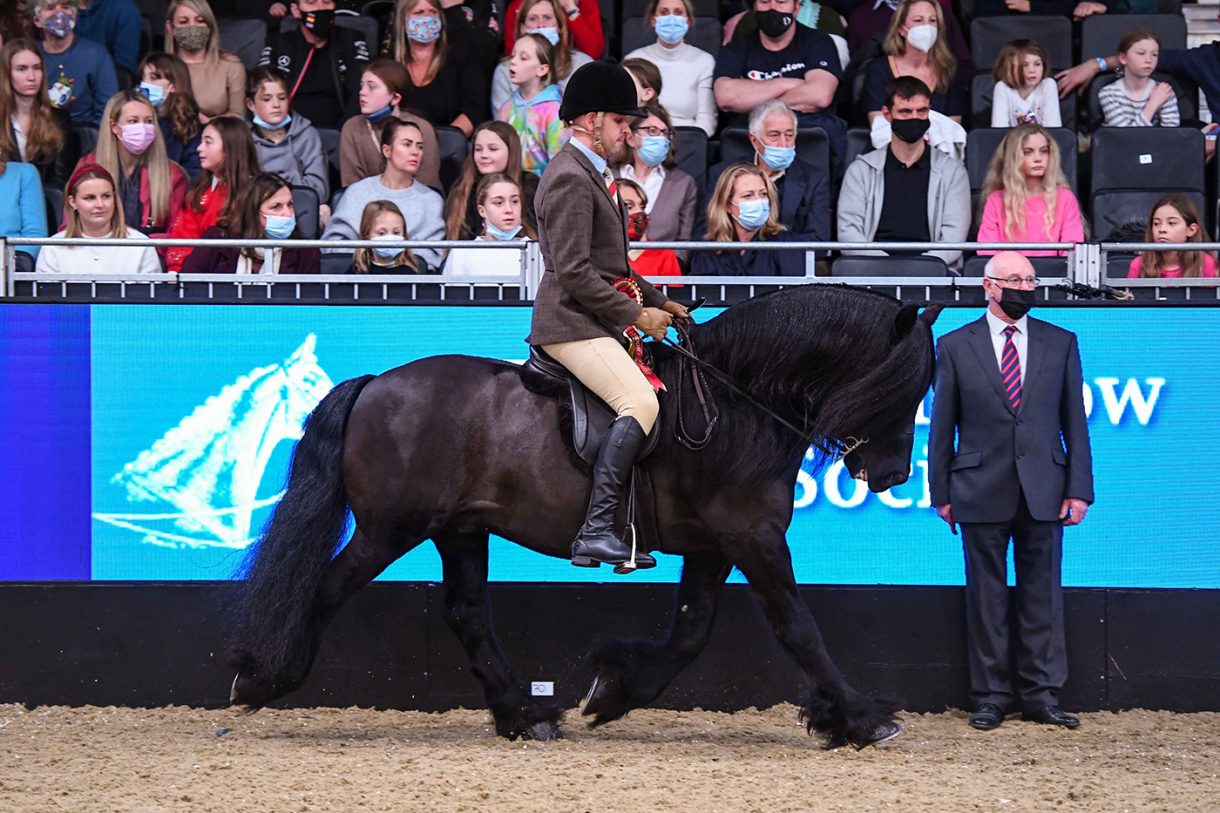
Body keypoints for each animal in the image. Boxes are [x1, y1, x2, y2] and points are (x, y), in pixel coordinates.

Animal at [228, 286, 943, 749]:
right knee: (325, 589)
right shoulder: (753, 536)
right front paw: (863, 718)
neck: (737, 404)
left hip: (459, 529)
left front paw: (614, 689)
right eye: (901, 387)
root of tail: (375, 383)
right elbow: (800, 629)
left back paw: (523, 715)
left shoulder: (717, 543)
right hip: (391, 529)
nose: (894, 476)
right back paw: (262, 678)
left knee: (466, 613)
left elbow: (692, 632)